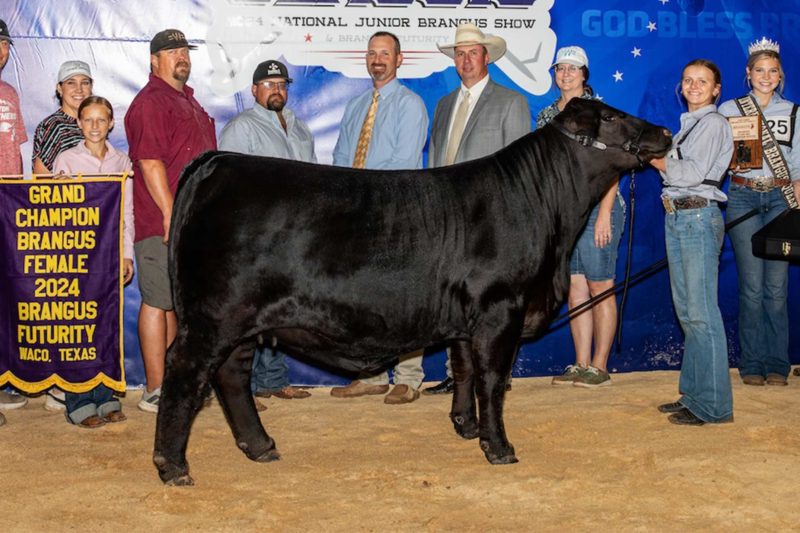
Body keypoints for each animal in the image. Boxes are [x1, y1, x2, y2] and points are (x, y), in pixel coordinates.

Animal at [153, 98, 672, 485]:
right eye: (610, 116)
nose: (665, 131)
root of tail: (219, 161)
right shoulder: (500, 308)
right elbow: (492, 379)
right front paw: (499, 446)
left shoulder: (467, 319)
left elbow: (463, 370)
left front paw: (466, 427)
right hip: (215, 314)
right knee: (186, 370)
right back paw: (173, 466)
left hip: (239, 320)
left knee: (231, 375)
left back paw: (260, 447)